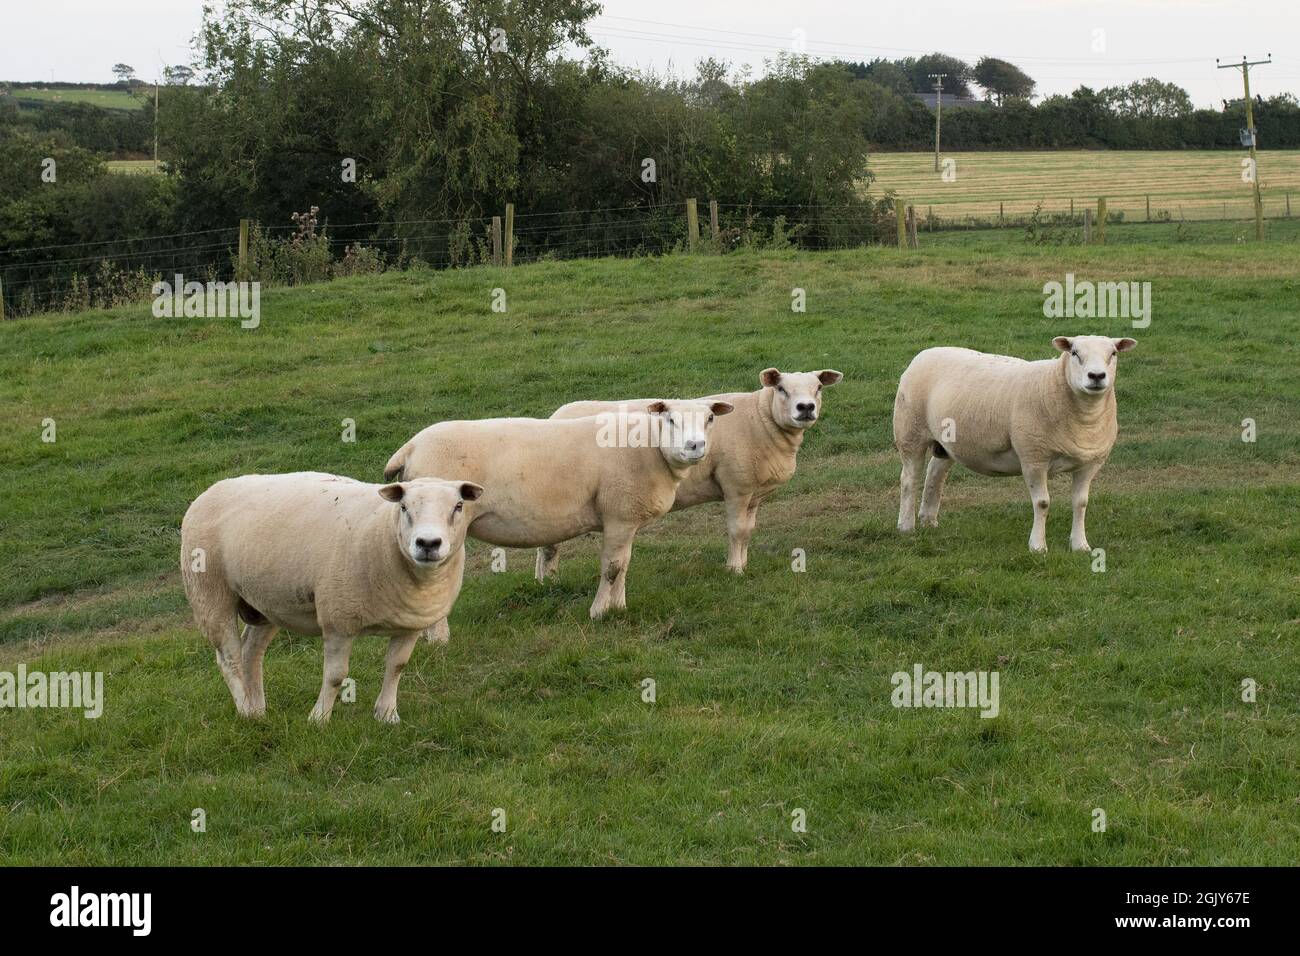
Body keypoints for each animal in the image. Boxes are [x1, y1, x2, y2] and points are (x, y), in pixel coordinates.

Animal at [180, 473, 484, 724]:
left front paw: (387, 714)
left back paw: (258, 710)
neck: (383, 533)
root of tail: (210, 490)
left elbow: (397, 666)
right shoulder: (339, 621)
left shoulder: (411, 625)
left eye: (458, 506)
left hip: (265, 603)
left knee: (251, 651)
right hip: (210, 592)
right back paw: (245, 710)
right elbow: (336, 675)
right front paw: (319, 719)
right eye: (404, 507)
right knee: (229, 658)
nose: (428, 544)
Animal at [383, 399, 733, 628]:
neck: (649, 447)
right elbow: (612, 568)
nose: (695, 446)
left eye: (710, 420)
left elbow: (623, 566)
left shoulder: (626, 519)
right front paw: (599, 612)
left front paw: (619, 607)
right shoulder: (618, 515)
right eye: (670, 420)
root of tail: (410, 447)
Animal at [543, 368, 843, 576]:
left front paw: (743, 562)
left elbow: (748, 531)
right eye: (781, 388)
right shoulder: (736, 485)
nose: (806, 408)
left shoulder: (754, 493)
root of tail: (555, 415)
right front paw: (734, 569)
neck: (760, 419)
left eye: (818, 387)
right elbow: (737, 530)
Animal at [893, 336, 1136, 553]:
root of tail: (925, 353)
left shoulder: (1090, 463)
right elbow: (1042, 503)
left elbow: (1081, 503)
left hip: (947, 442)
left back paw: (928, 520)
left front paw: (1080, 545)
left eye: (1113, 353)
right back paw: (906, 526)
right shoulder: (1033, 458)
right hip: (910, 432)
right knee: (909, 478)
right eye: (1074, 353)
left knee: (935, 473)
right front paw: (1038, 546)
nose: (1096, 376)